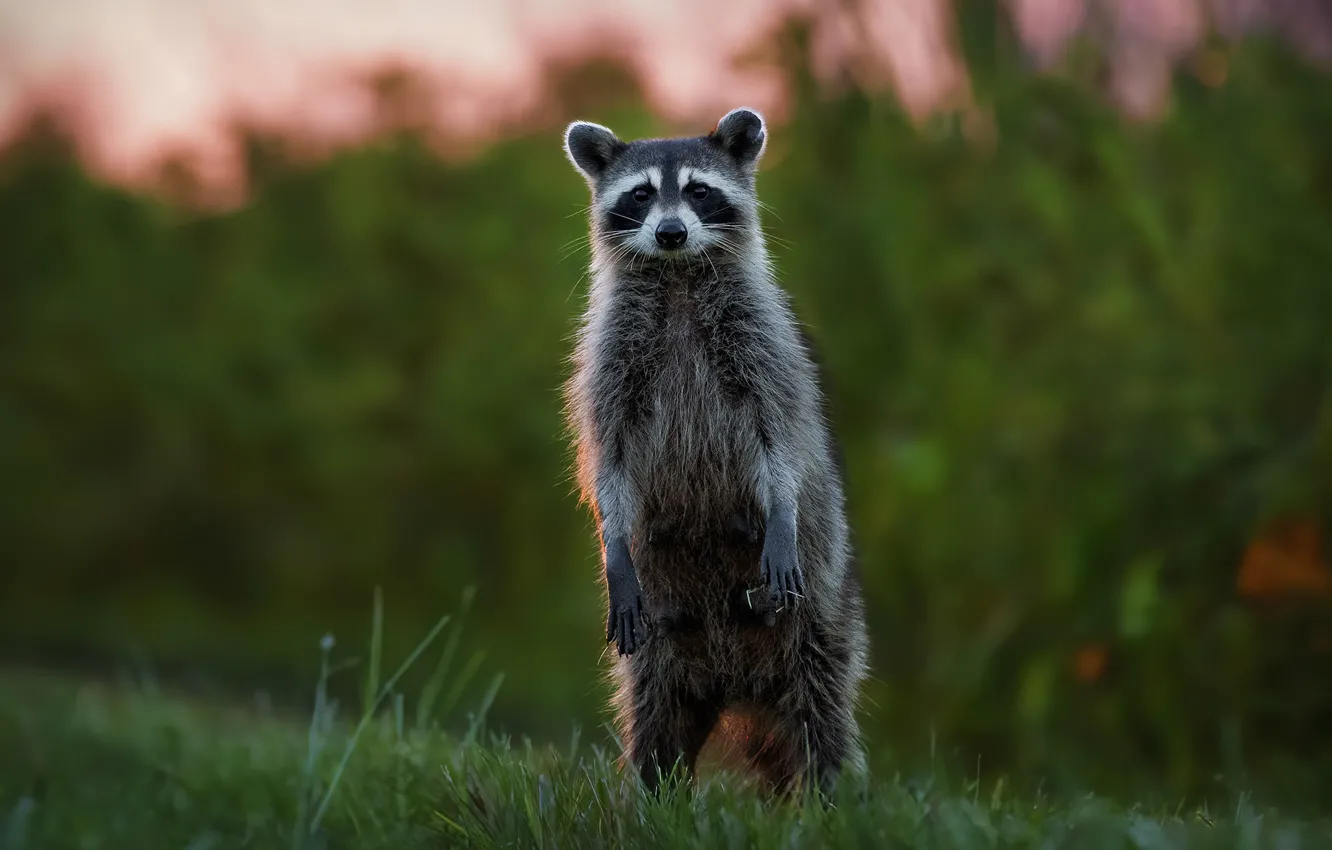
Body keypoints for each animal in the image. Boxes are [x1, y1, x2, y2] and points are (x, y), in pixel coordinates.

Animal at [561, 107, 869, 797]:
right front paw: (611, 536)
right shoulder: (609, 362)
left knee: (822, 706)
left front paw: (780, 509)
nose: (671, 233)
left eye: (699, 191)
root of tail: (739, 681)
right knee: (656, 712)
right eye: (641, 195)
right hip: (659, 637)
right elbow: (609, 458)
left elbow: (780, 437)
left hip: (824, 610)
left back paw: (832, 797)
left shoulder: (767, 344)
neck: (677, 277)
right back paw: (650, 793)